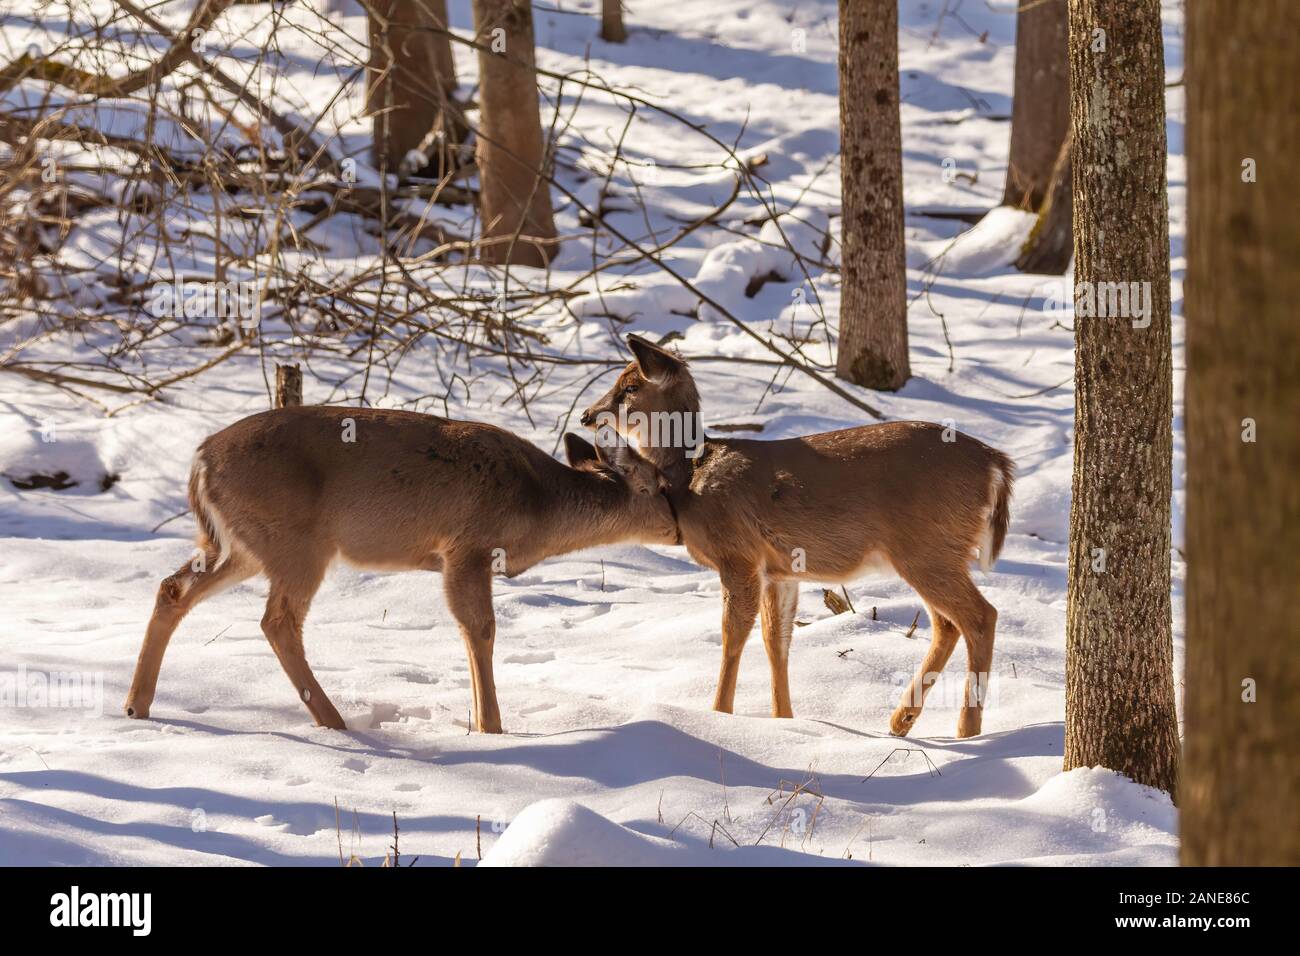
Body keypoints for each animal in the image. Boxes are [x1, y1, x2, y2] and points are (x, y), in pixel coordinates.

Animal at [123, 406, 677, 733]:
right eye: (655, 486)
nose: (677, 529)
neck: (536, 504)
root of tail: (199, 461)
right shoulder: (467, 545)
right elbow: (480, 628)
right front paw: (491, 728)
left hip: (238, 545)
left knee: (173, 589)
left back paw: (137, 705)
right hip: (296, 543)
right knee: (277, 621)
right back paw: (335, 721)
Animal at [581, 335, 1014, 738]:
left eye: (630, 386)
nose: (587, 414)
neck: (691, 475)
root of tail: (996, 464)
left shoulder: (737, 554)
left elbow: (732, 636)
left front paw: (719, 716)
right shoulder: (780, 571)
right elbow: (777, 641)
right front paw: (783, 720)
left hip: (928, 547)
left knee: (980, 616)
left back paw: (967, 730)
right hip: (931, 552)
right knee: (947, 625)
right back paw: (900, 721)